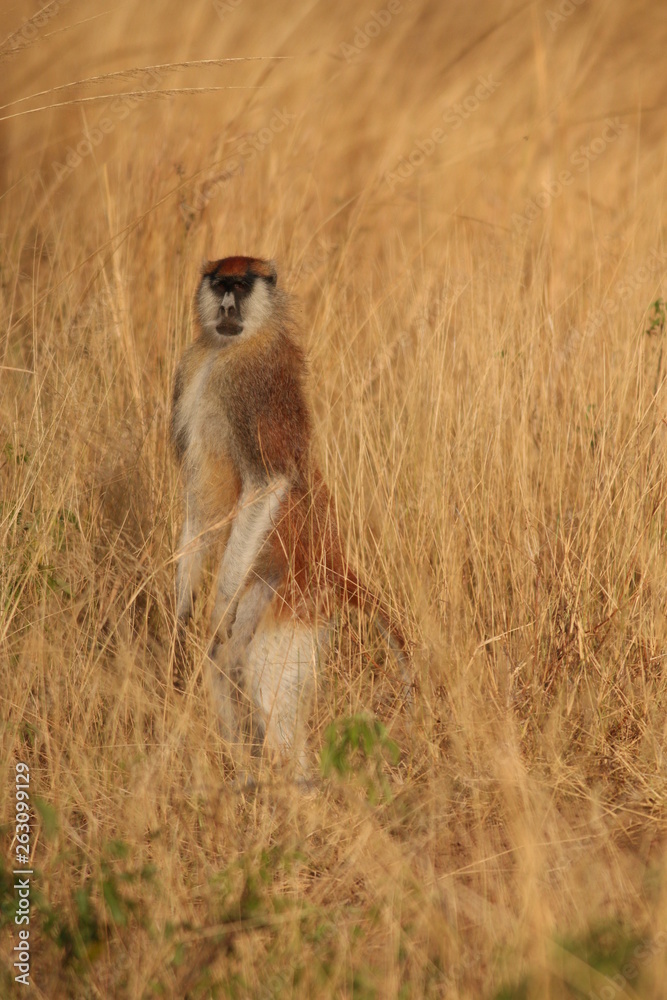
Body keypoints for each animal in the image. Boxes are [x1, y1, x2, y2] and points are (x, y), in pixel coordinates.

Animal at [170, 255, 409, 776]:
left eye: (242, 285)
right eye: (220, 283)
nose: (226, 306)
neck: (230, 347)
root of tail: (334, 559)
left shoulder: (249, 386)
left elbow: (269, 482)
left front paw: (215, 604)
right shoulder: (194, 366)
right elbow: (198, 503)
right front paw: (182, 607)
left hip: (295, 593)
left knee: (261, 678)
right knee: (228, 666)